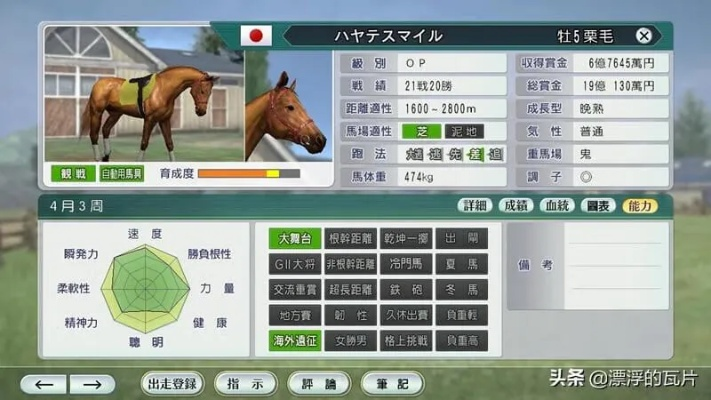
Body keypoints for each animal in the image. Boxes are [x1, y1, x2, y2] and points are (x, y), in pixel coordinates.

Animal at [80, 66, 219, 162]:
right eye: (202, 90)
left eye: (210, 92)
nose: (201, 111)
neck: (163, 89)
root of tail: (98, 83)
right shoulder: (150, 119)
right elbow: (144, 142)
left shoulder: (164, 120)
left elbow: (169, 143)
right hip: (97, 113)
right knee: (94, 134)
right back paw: (98, 158)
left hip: (116, 114)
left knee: (106, 129)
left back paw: (106, 156)